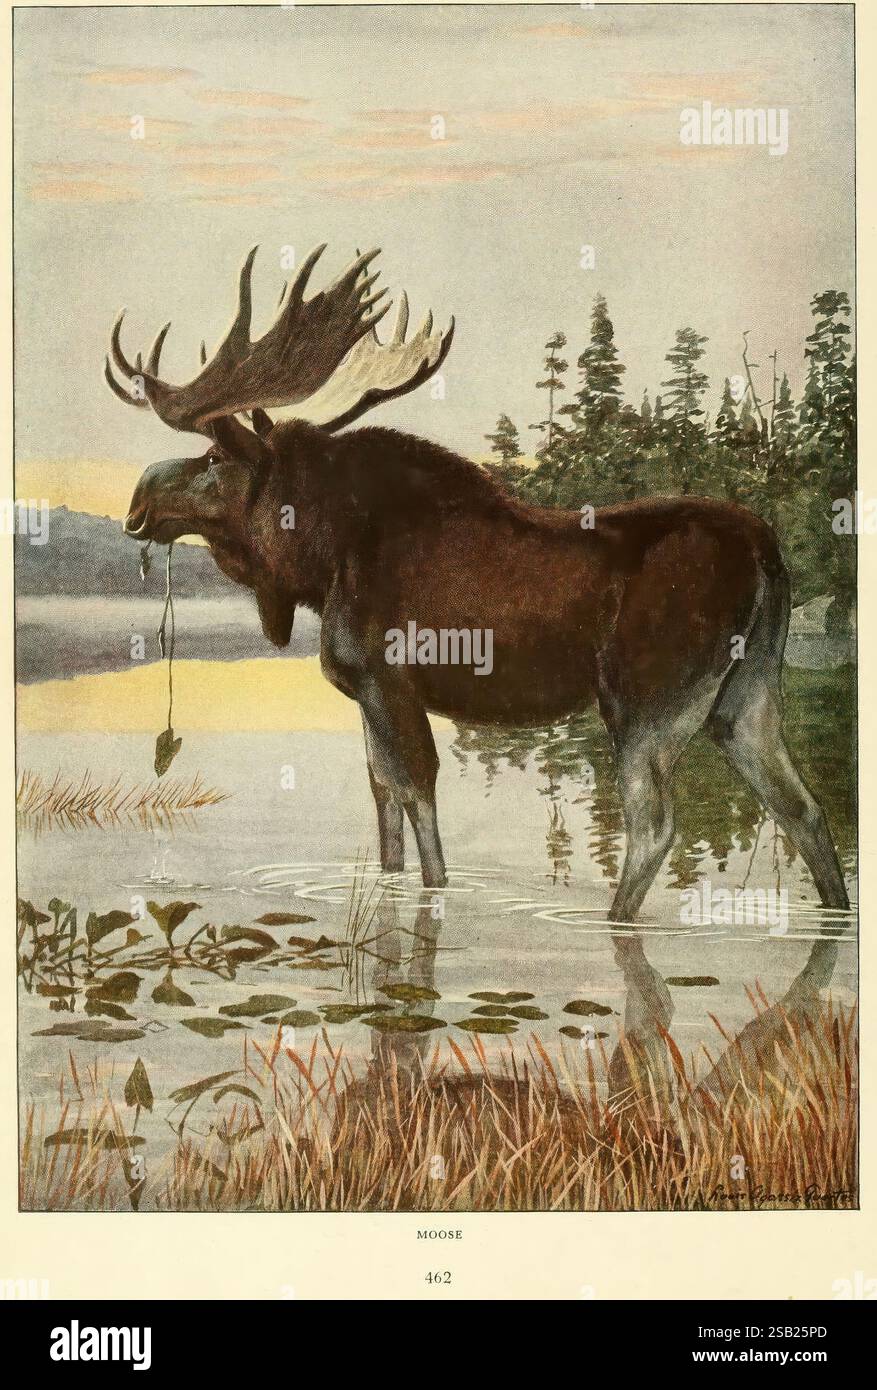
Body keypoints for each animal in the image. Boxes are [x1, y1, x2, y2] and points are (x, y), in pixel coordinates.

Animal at [106, 244, 850, 921]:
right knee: (803, 808)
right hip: (745, 698)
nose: (136, 501)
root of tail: (766, 549)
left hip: (646, 700)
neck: (320, 556)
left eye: (211, 457)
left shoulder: (389, 680)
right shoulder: (366, 695)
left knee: (655, 825)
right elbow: (384, 805)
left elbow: (417, 804)